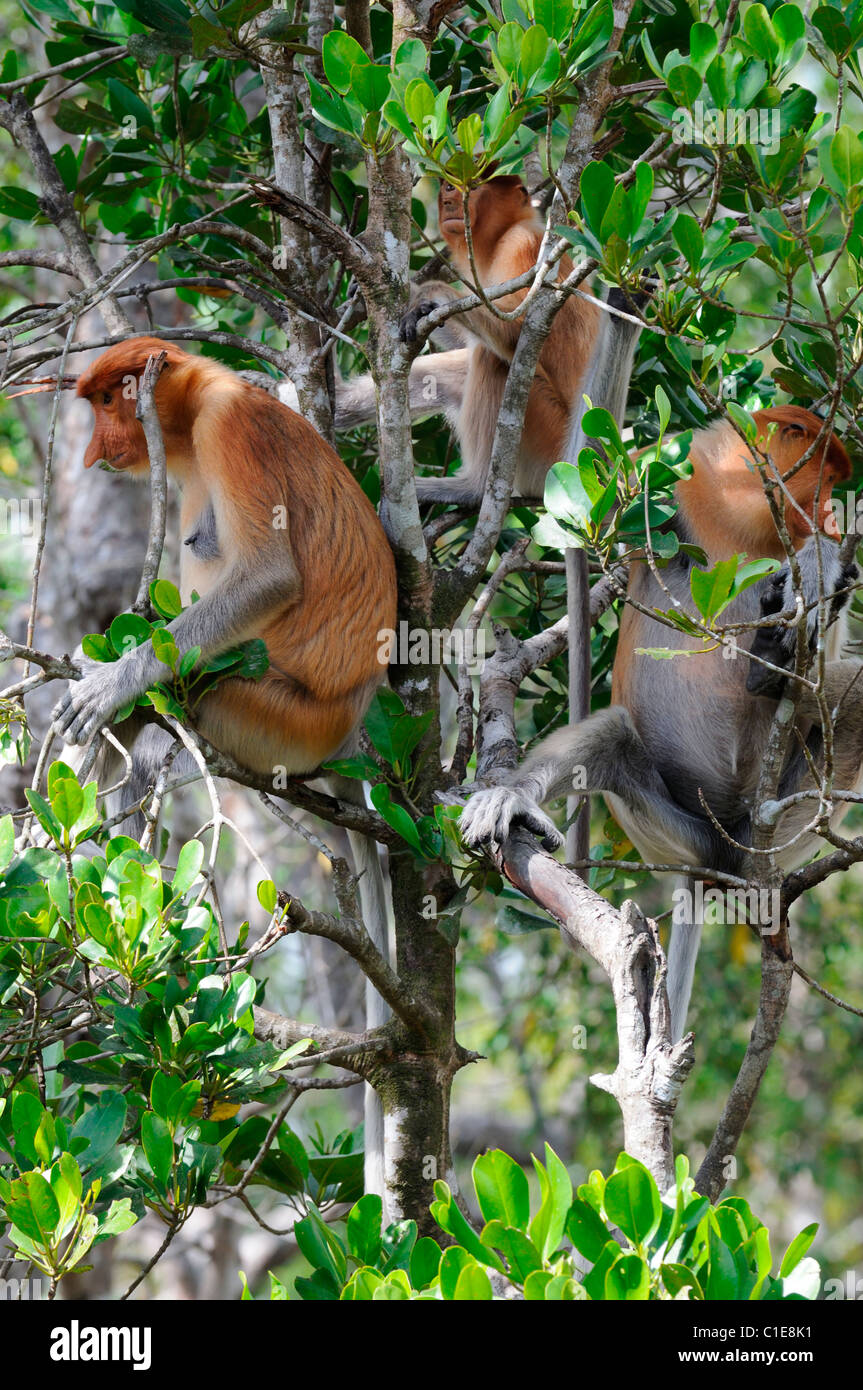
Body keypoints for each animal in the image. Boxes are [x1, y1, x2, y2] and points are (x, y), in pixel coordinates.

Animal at [51, 336, 397, 1203]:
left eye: (107, 399)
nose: (93, 451)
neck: (201, 398)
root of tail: (346, 732)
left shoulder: (232, 429)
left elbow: (269, 578)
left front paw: (108, 679)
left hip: (276, 719)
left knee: (194, 697)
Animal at [459, 406, 859, 1039]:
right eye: (818, 485)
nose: (824, 515)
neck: (740, 516)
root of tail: (723, 857)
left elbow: (828, 641)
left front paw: (816, 572)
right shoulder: (664, 470)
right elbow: (577, 516)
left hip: (788, 820)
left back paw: (766, 666)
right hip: (667, 826)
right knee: (610, 736)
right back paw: (512, 800)